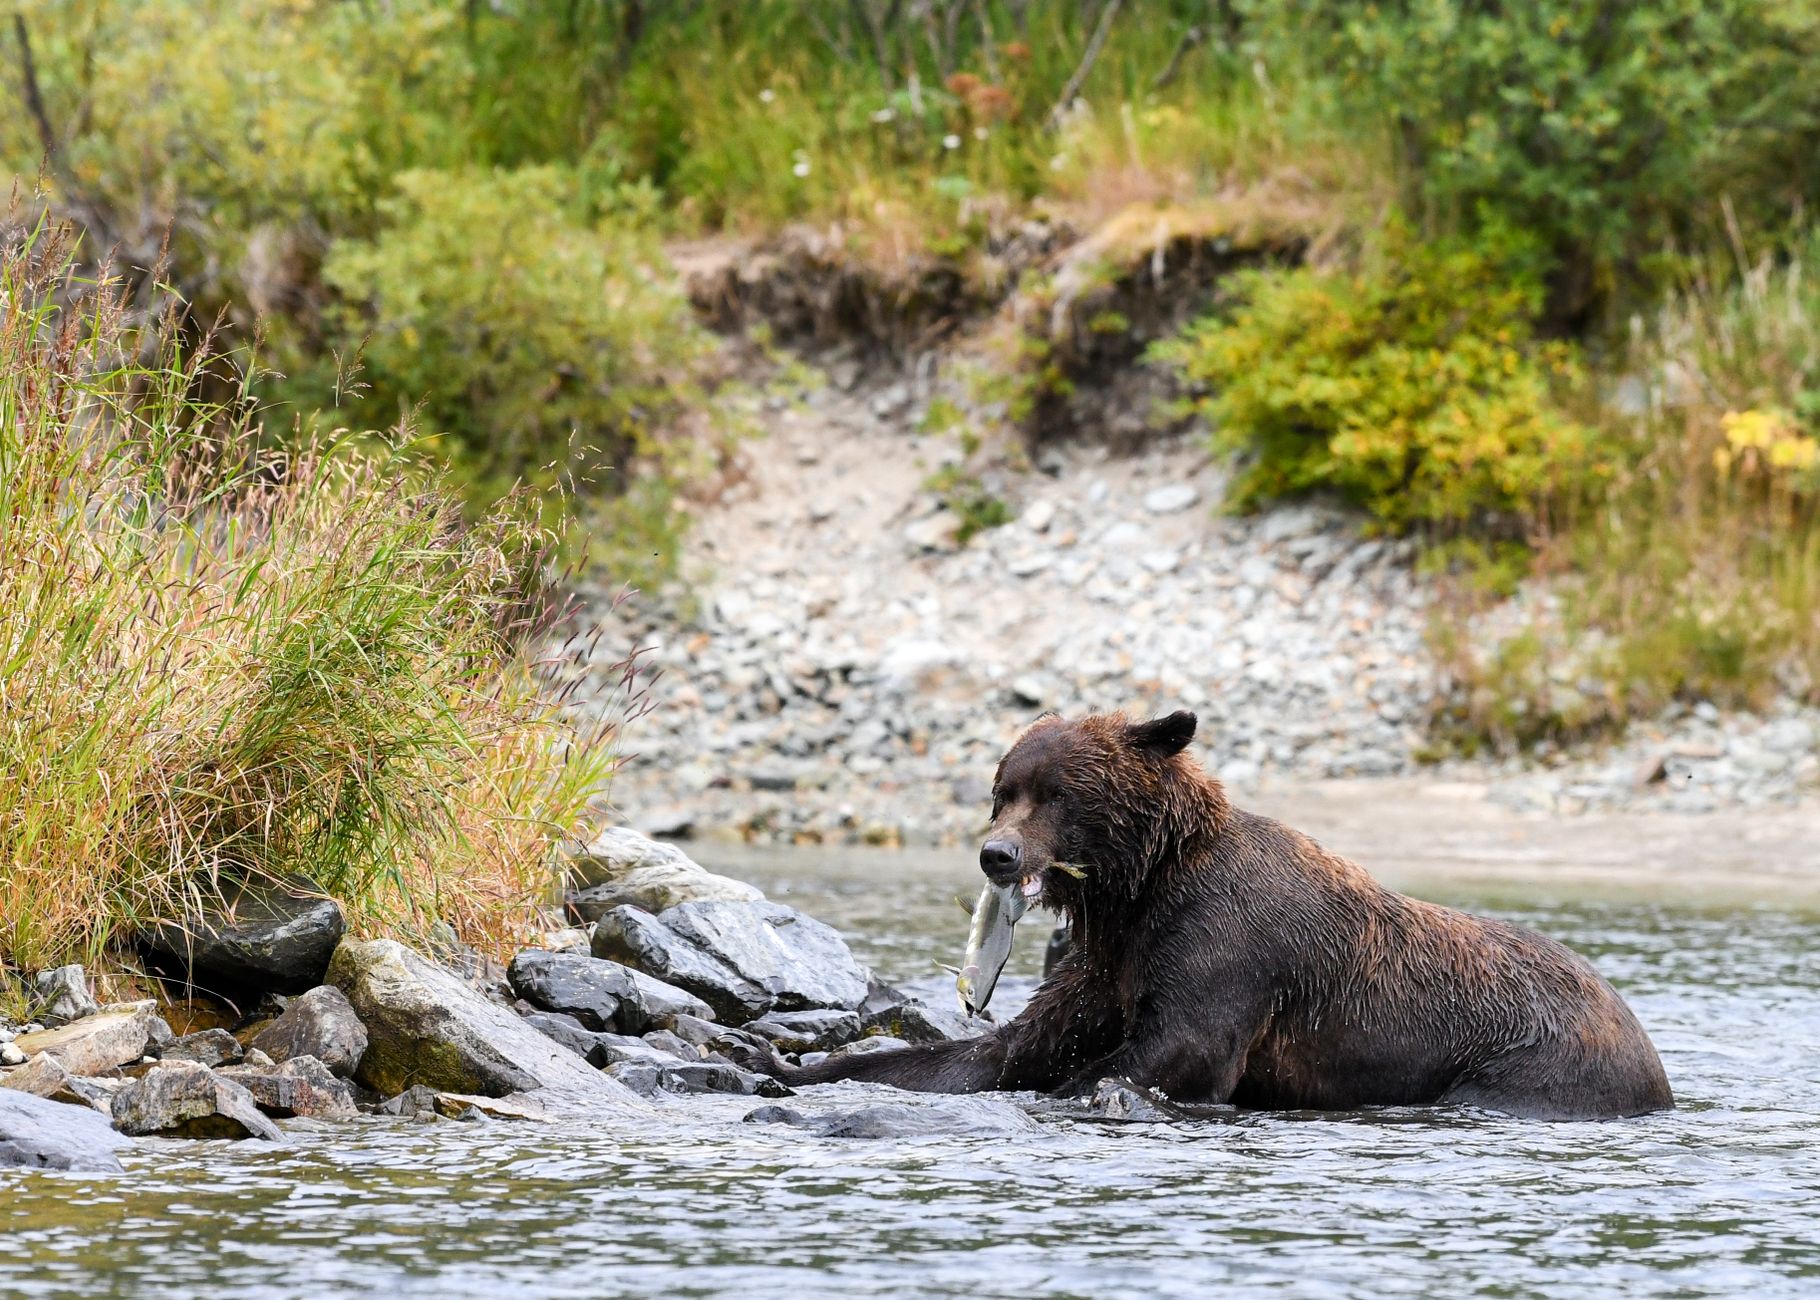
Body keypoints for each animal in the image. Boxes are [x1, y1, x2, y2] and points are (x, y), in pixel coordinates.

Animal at [737, 710, 1674, 1120]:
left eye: (1057, 794)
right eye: (1003, 789)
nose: (996, 855)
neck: (1142, 884)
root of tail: (1644, 1040)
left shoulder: (1227, 947)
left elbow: (1175, 1051)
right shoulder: (1109, 958)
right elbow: (996, 1052)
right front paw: (779, 1063)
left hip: (1529, 1062)